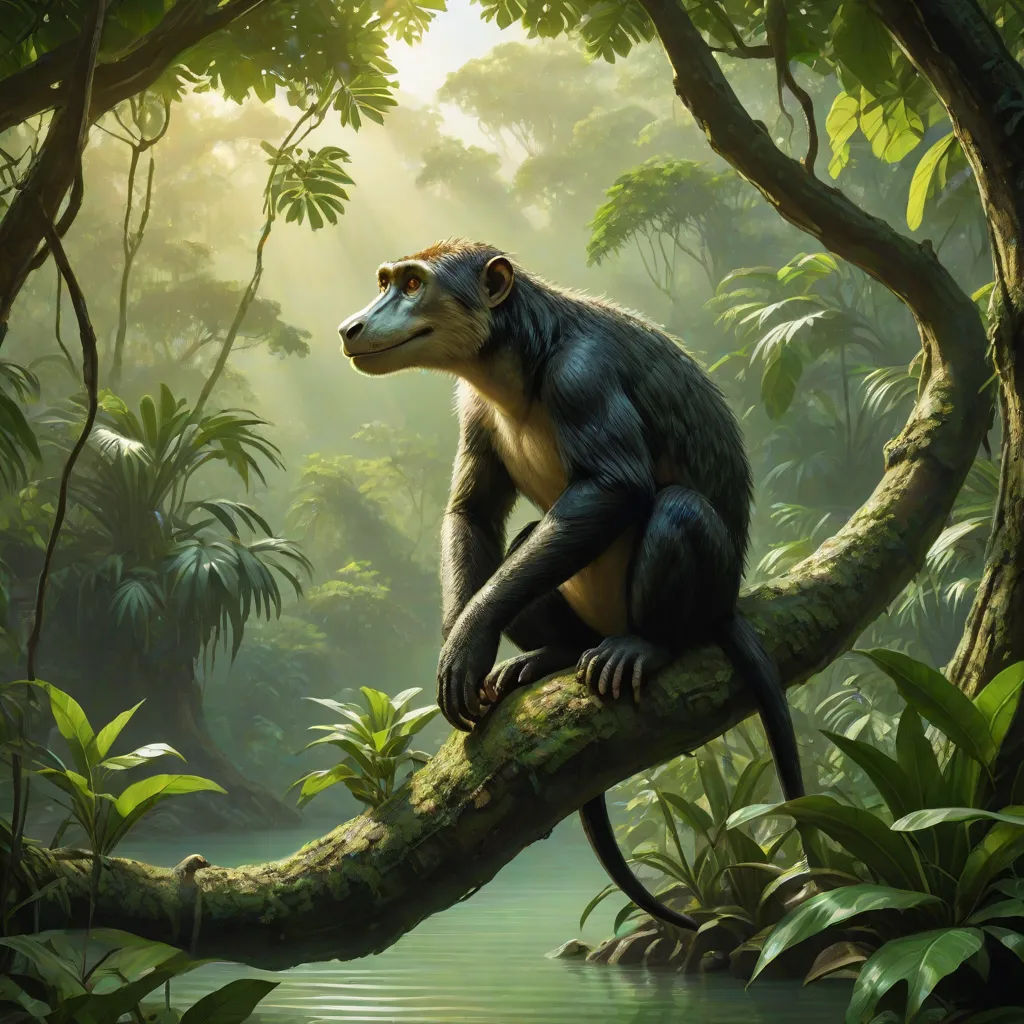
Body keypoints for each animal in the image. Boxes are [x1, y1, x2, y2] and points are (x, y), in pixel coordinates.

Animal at [337, 239, 803, 932]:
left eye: (414, 284)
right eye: (386, 281)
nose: (353, 325)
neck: (516, 362)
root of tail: (729, 607)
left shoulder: (584, 377)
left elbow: (615, 485)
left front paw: (469, 636)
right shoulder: (473, 409)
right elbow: (473, 513)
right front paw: (460, 634)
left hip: (702, 598)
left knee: (680, 510)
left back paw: (646, 644)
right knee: (530, 542)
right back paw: (548, 655)